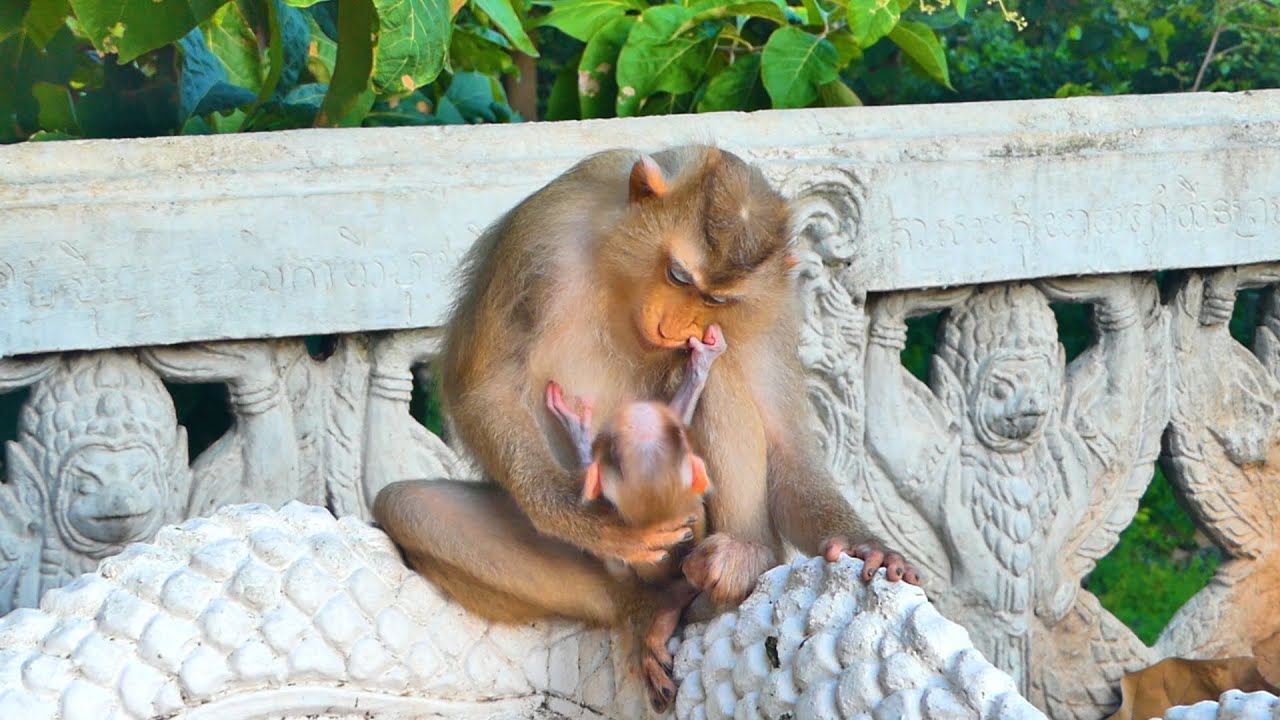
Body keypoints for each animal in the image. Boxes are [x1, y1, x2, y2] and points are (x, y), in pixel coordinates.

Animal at [373, 145, 919, 712]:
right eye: (679, 276)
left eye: (716, 300)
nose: (674, 329)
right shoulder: (540, 234)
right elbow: (488, 388)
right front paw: (584, 519)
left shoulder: (770, 306)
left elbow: (784, 441)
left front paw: (864, 546)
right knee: (411, 508)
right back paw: (646, 605)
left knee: (723, 378)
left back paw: (741, 560)